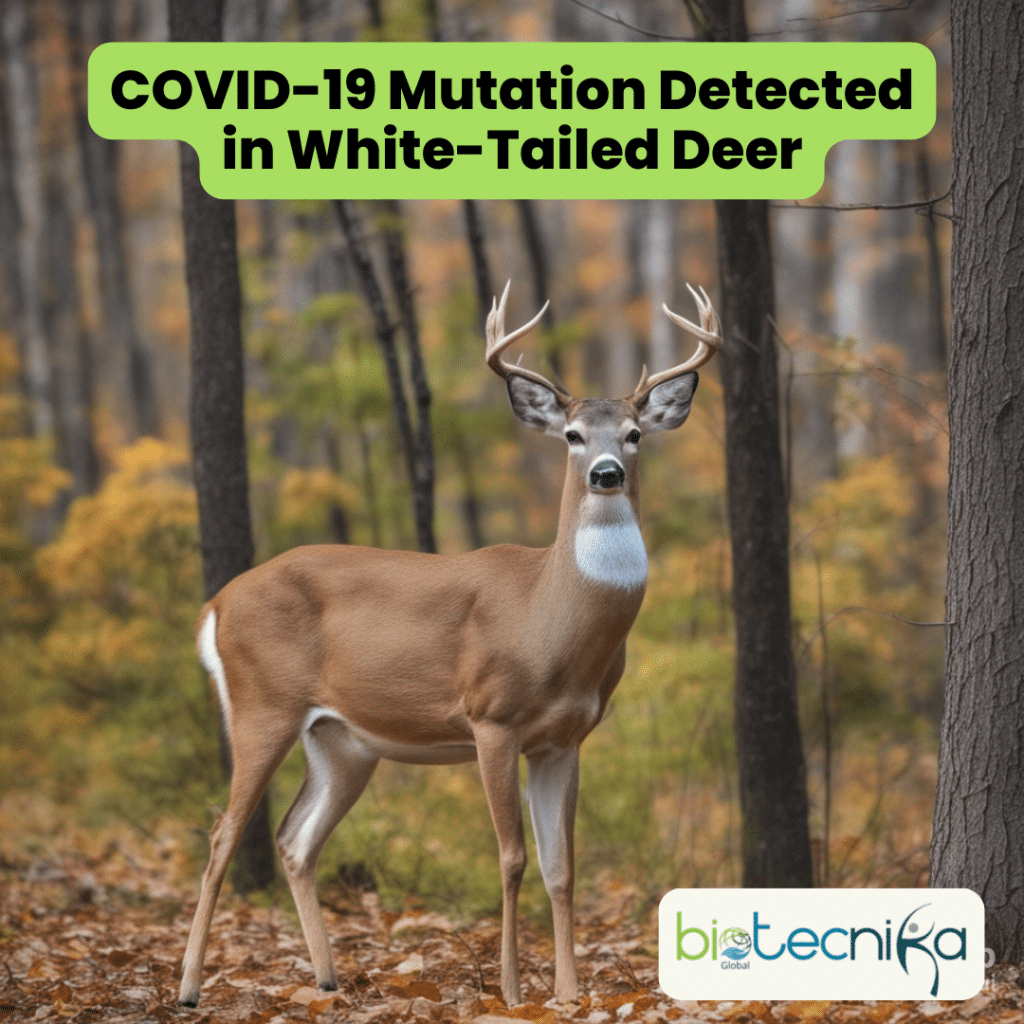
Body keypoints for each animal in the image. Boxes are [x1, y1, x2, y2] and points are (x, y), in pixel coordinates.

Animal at [177, 281, 721, 1009]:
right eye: (573, 435)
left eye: (634, 435)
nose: (606, 473)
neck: (550, 618)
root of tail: (215, 605)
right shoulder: (491, 716)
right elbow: (512, 856)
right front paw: (514, 992)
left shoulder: (565, 738)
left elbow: (562, 866)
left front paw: (569, 994)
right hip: (263, 704)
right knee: (223, 832)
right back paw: (188, 988)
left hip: (342, 742)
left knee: (296, 839)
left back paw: (327, 979)